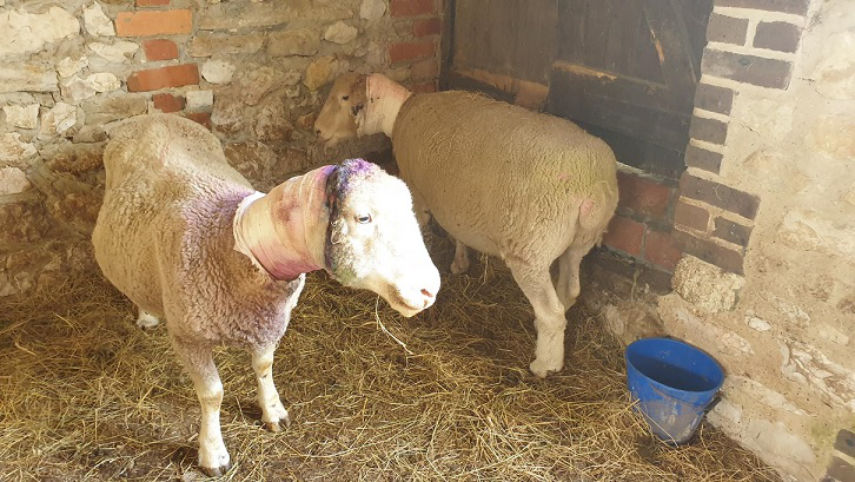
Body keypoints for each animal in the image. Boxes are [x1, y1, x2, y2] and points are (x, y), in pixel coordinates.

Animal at [91, 114, 440, 475]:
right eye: (363, 217)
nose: (430, 289)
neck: (230, 242)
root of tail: (153, 116)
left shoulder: (268, 322)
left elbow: (264, 366)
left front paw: (272, 410)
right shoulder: (189, 338)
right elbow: (213, 395)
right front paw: (213, 453)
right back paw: (146, 313)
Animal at [315, 73, 619, 379]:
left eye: (344, 98)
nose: (316, 130)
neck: (399, 112)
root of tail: (594, 187)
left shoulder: (418, 192)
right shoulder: (455, 201)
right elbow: (457, 232)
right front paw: (460, 262)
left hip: (531, 250)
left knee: (551, 313)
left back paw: (545, 364)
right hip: (580, 242)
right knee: (569, 289)